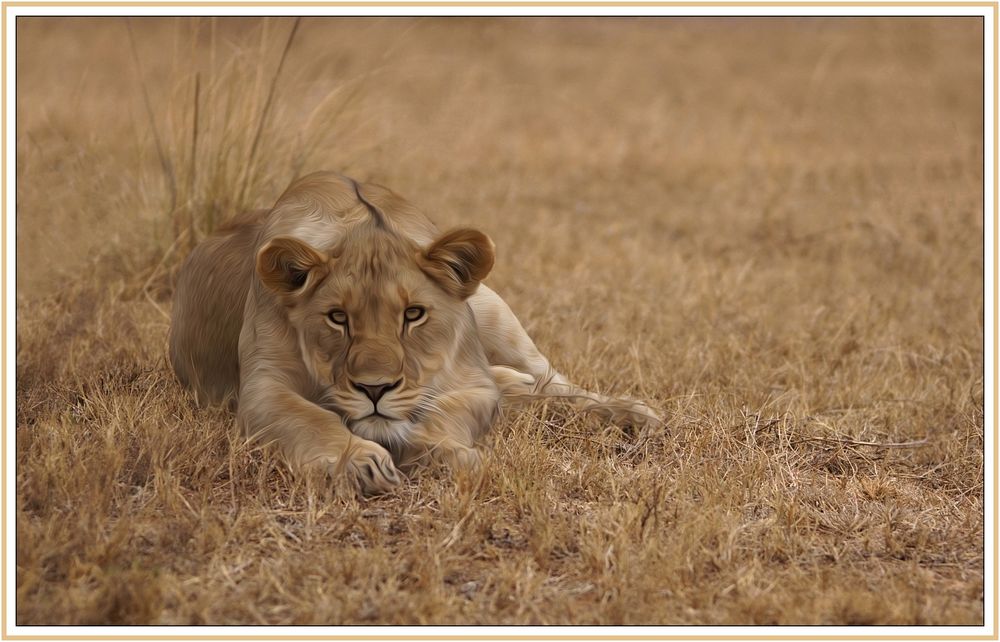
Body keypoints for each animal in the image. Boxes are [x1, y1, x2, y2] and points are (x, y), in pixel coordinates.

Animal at [170, 172, 658, 494]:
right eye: (337, 318)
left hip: (496, 314)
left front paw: (446, 453)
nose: (375, 389)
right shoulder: (261, 387)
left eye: (414, 314)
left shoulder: (472, 381)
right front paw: (359, 464)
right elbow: (308, 417)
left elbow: (448, 414)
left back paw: (632, 414)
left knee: (555, 384)